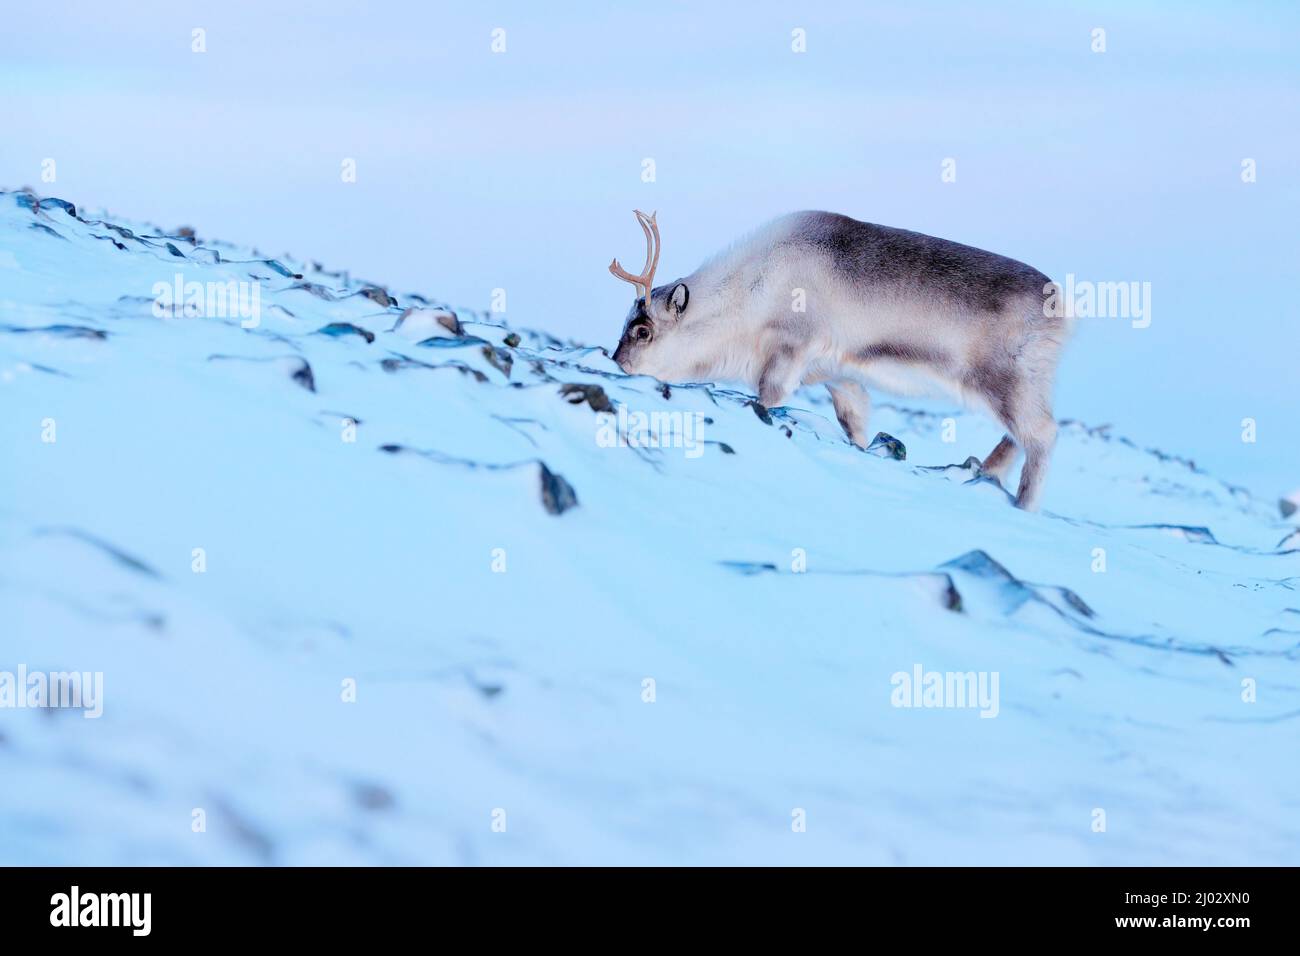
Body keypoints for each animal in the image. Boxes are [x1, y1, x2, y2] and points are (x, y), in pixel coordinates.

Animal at [608, 210, 1071, 511]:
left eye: (643, 330)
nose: (618, 363)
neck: (751, 289)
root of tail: (1063, 310)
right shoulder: (838, 376)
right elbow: (856, 423)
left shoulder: (791, 350)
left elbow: (767, 397)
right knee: (1021, 437)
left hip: (1004, 382)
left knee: (1042, 434)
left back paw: (1023, 505)